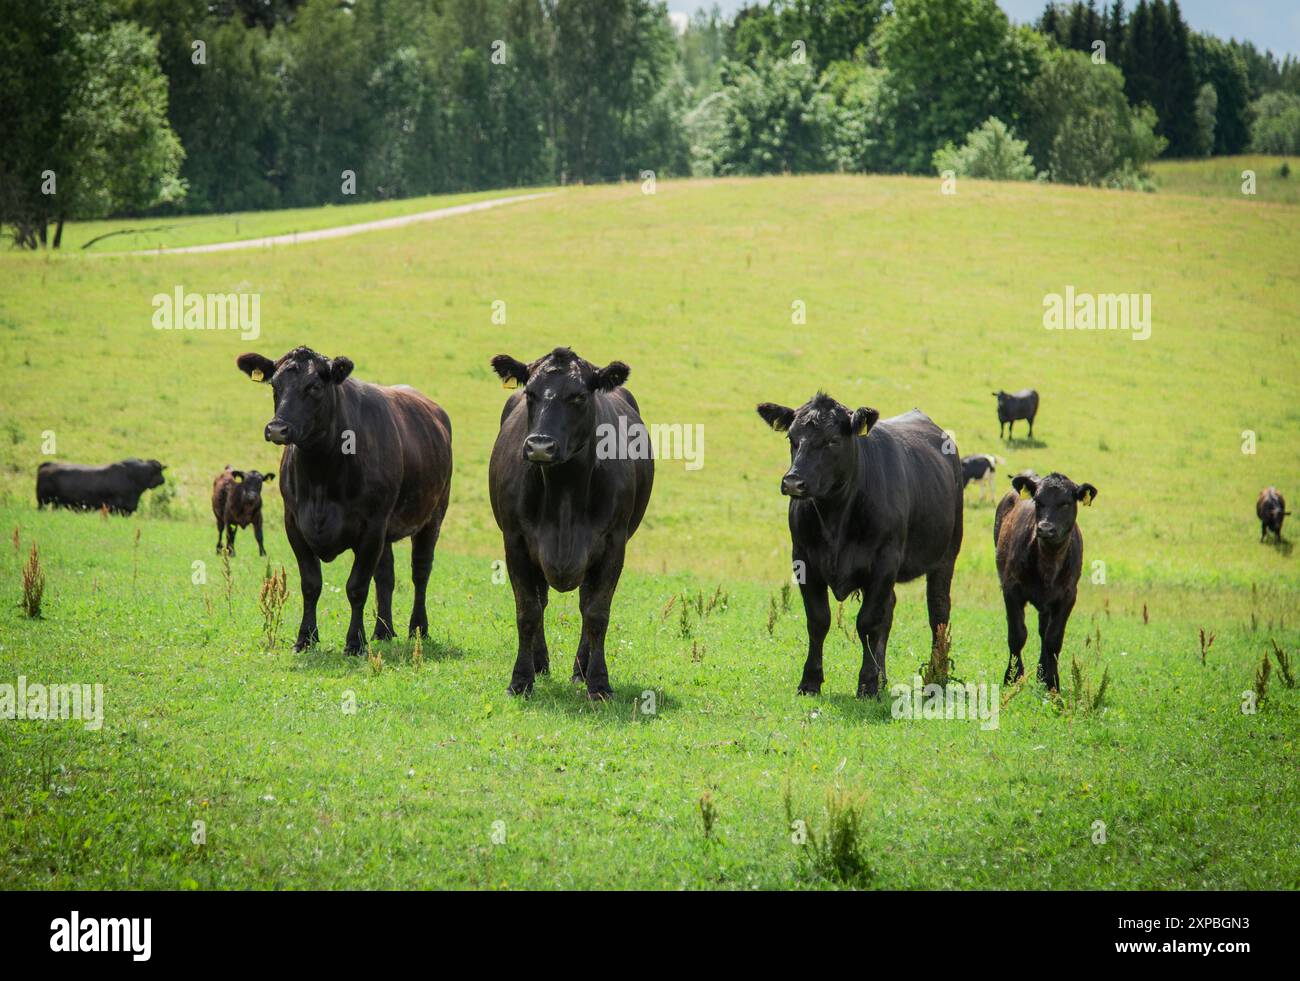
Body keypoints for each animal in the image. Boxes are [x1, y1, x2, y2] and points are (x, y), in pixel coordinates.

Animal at [36, 459, 166, 514]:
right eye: (159, 471)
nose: (163, 480)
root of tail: (47, 464)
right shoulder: (116, 508)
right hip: (42, 501)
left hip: (55, 503)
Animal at [236, 347, 452, 654]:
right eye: (274, 386)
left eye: (314, 386)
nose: (277, 429)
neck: (320, 474)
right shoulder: (294, 522)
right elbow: (311, 584)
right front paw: (306, 637)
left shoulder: (372, 526)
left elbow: (357, 586)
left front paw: (354, 642)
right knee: (386, 576)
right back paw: (383, 631)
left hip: (432, 516)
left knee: (420, 572)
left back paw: (418, 628)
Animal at [488, 347, 654, 700]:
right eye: (530, 393)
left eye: (578, 396)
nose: (540, 445)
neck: (563, 488)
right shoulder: (515, 541)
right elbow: (528, 610)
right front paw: (520, 679)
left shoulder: (613, 544)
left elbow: (596, 612)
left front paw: (599, 682)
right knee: (541, 601)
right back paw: (539, 662)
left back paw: (581, 669)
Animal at [756, 394, 963, 698]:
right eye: (792, 438)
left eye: (833, 440)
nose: (793, 481)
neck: (835, 517)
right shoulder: (804, 561)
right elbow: (818, 620)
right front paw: (811, 681)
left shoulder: (884, 562)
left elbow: (868, 622)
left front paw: (866, 684)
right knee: (890, 610)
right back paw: (884, 677)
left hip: (946, 555)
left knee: (938, 613)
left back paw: (937, 677)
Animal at [994, 471, 1097, 690]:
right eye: (1038, 501)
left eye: (1066, 503)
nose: (1045, 529)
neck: (1049, 560)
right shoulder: (1011, 589)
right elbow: (1017, 634)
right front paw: (1012, 678)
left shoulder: (1068, 596)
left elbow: (1053, 639)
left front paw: (1052, 682)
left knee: (1044, 632)